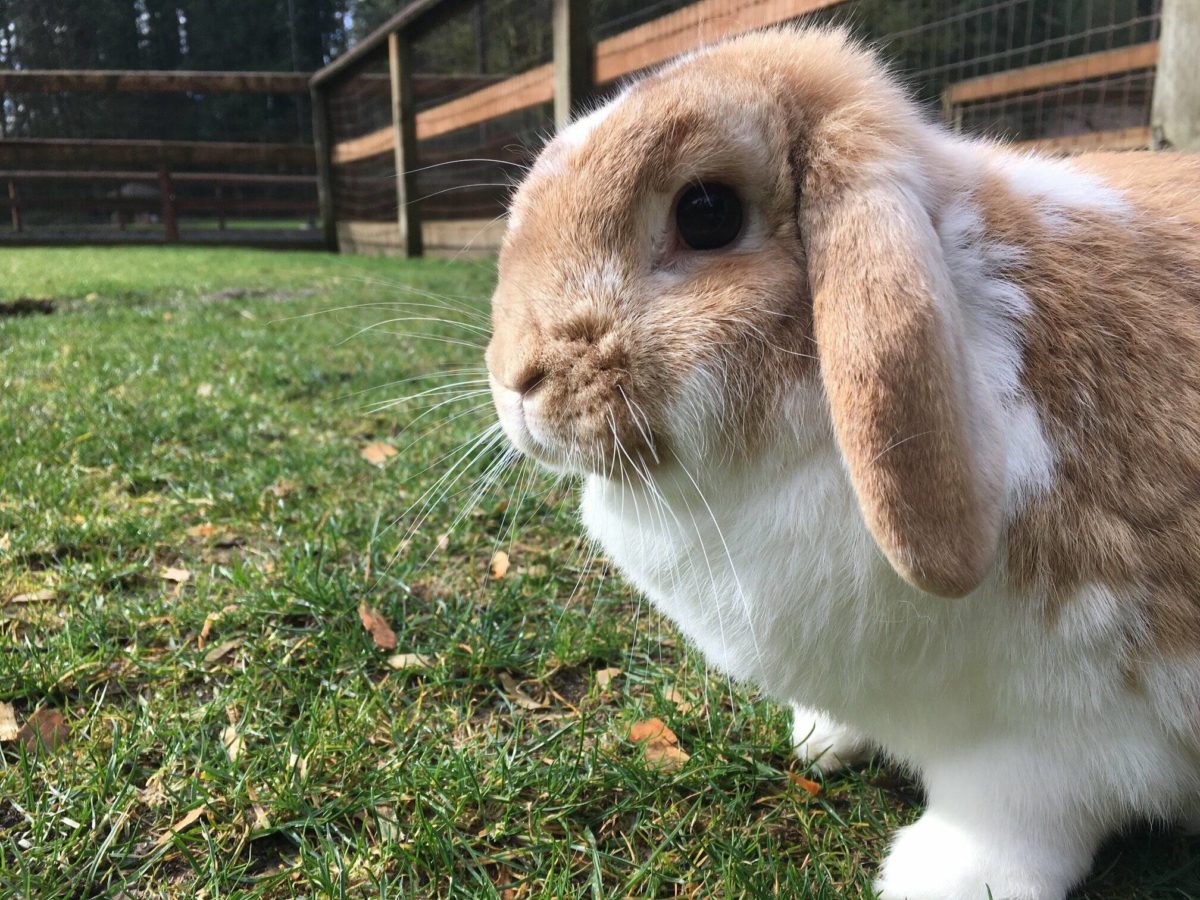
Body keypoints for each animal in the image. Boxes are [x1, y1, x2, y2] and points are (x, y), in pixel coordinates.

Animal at [484, 24, 1200, 900]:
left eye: (708, 213)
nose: (516, 377)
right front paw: (822, 742)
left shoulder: (1064, 727)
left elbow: (1014, 809)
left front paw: (941, 879)